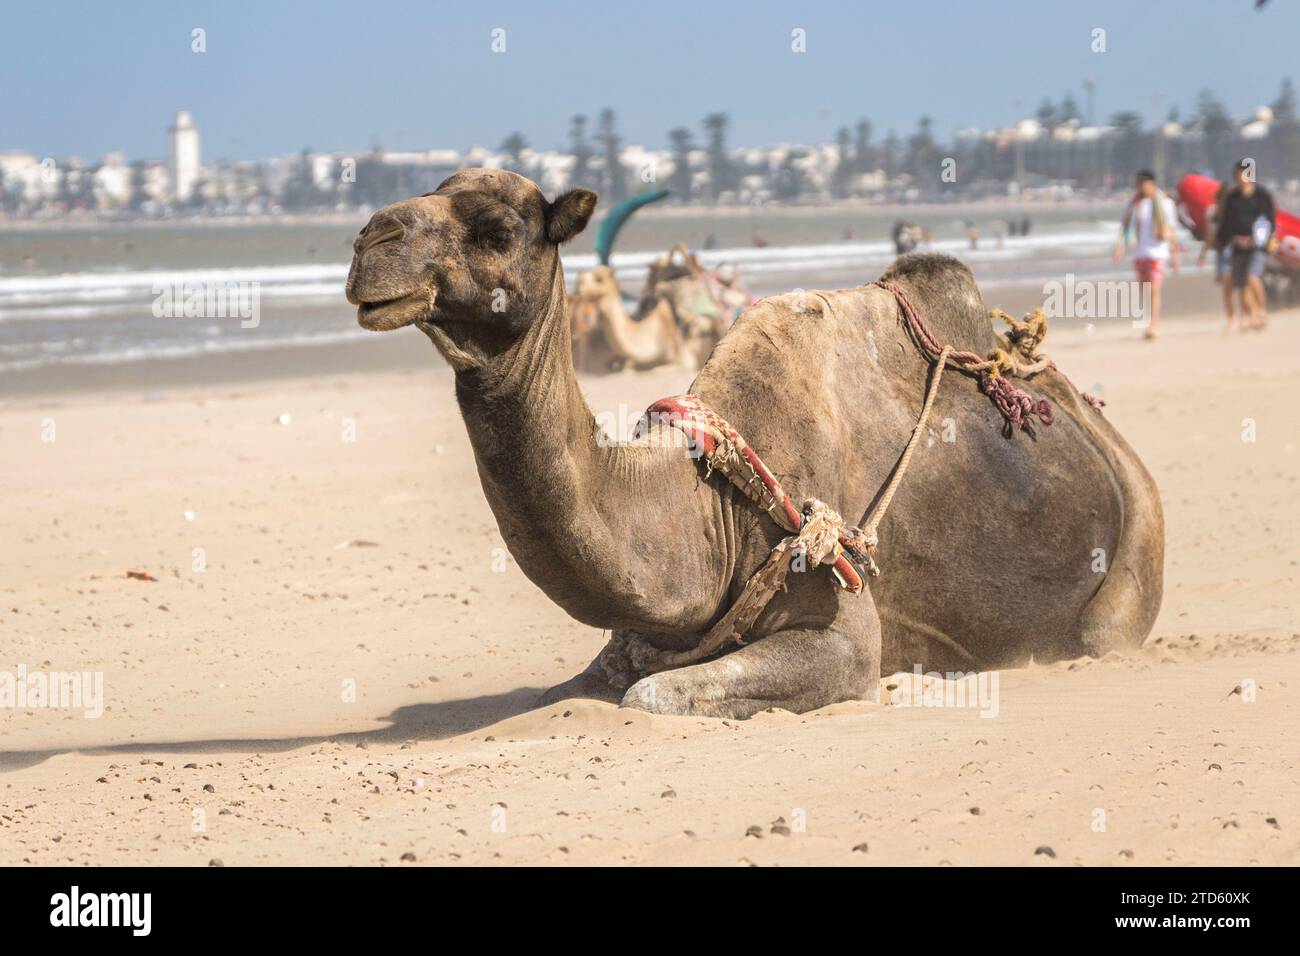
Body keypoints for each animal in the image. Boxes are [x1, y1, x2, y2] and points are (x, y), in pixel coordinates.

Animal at [346, 169, 1164, 718]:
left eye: (496, 231)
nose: (369, 241)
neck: (712, 499)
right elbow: (573, 690)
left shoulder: (844, 633)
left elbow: (650, 697)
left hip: (1131, 574)